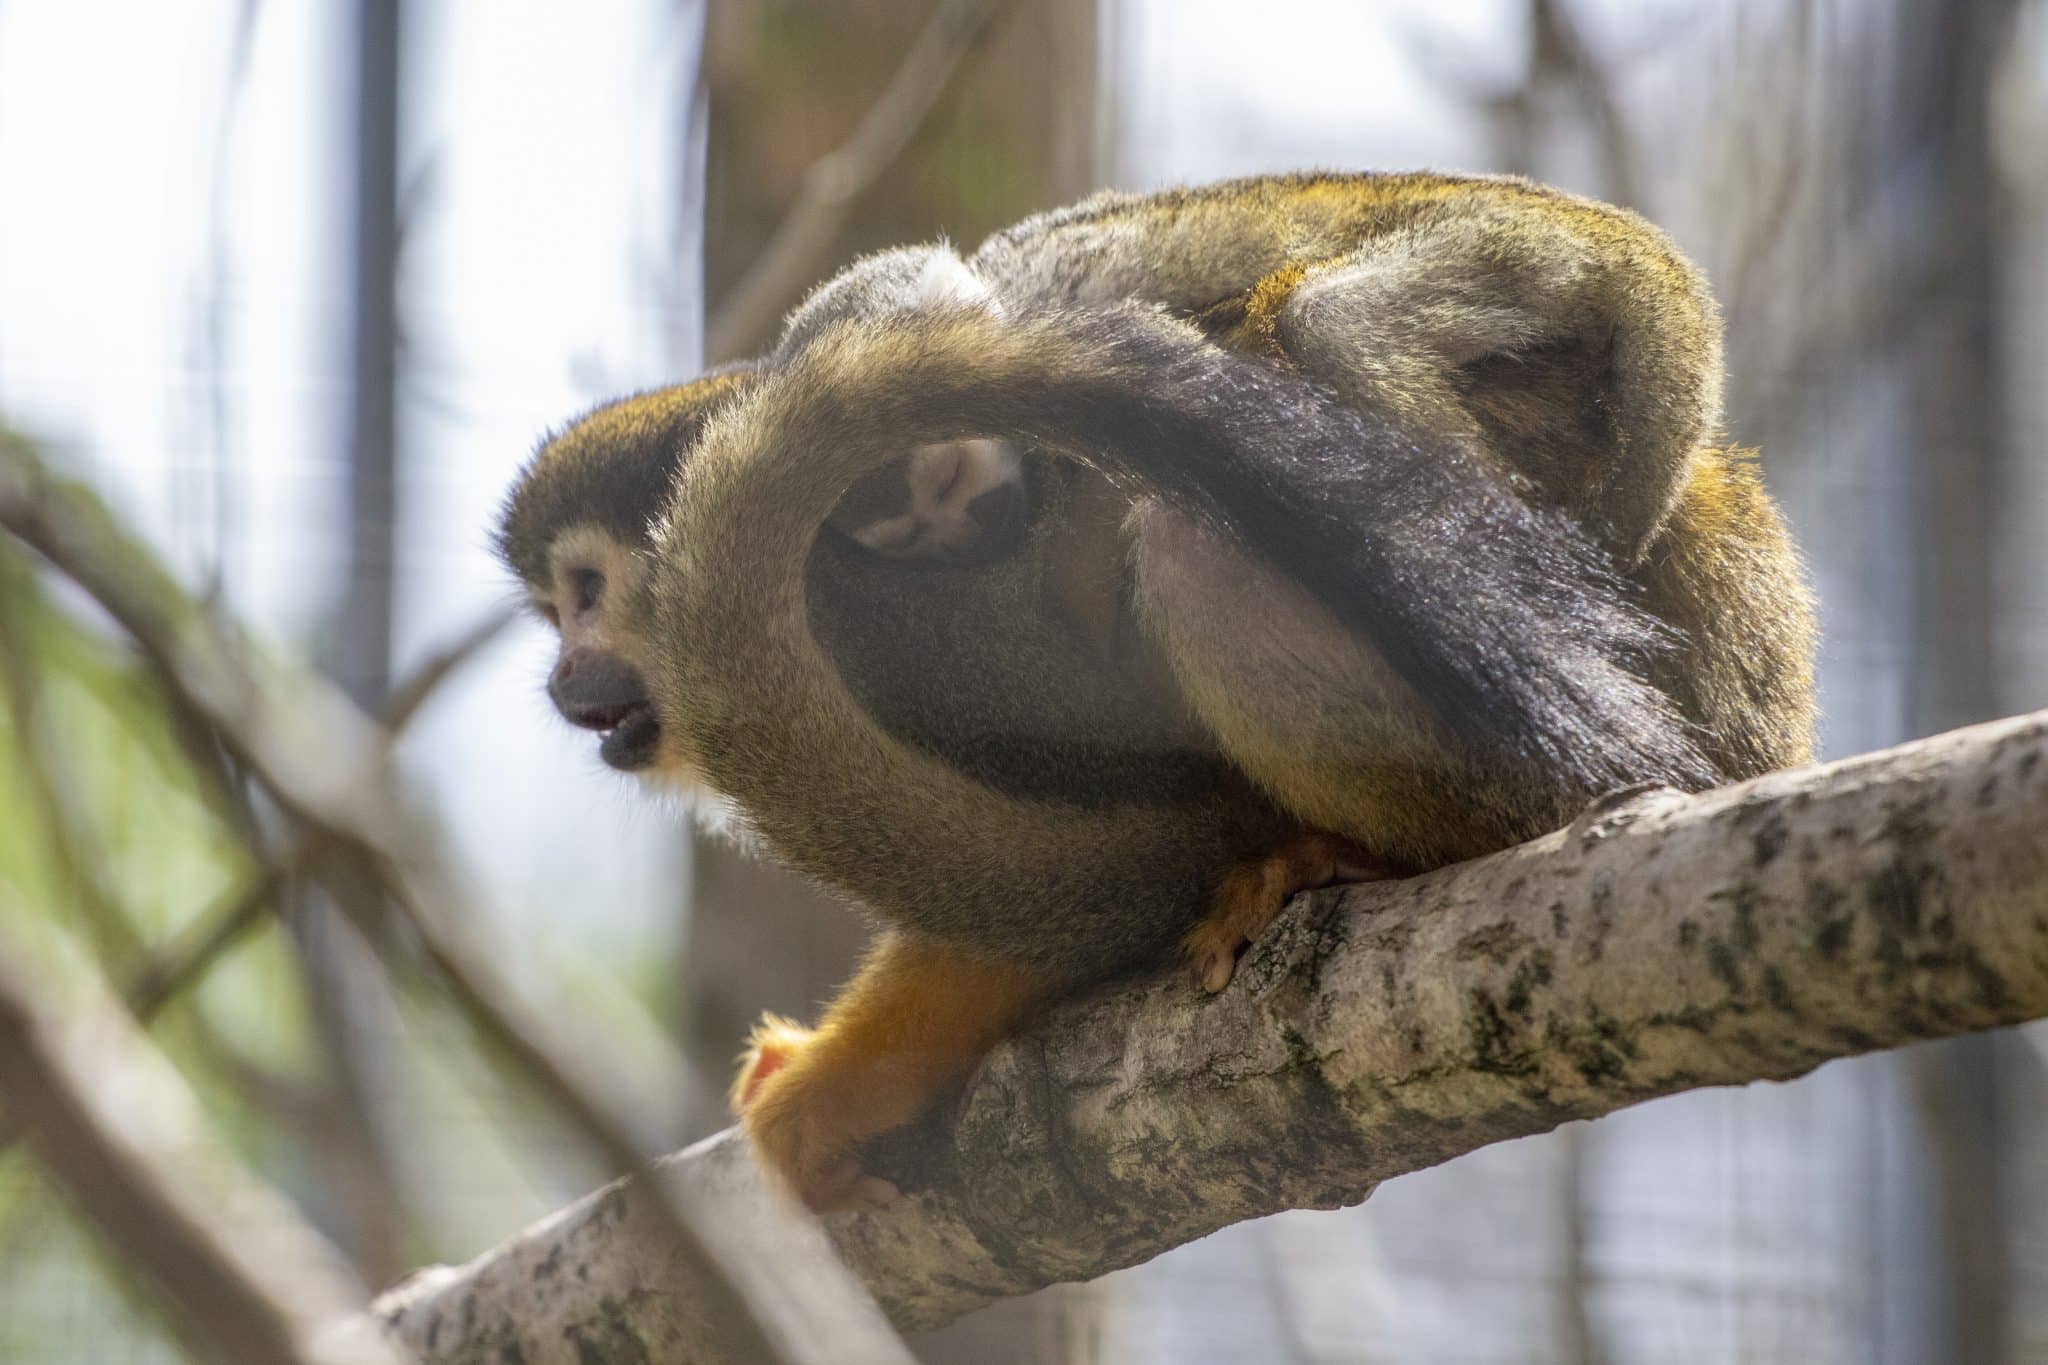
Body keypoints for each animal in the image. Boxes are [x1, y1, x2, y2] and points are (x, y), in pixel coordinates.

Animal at [496, 172, 1818, 1211]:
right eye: (556, 614)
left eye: (586, 595)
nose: (564, 681)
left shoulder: (909, 633)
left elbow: (1102, 866)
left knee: (1208, 531)